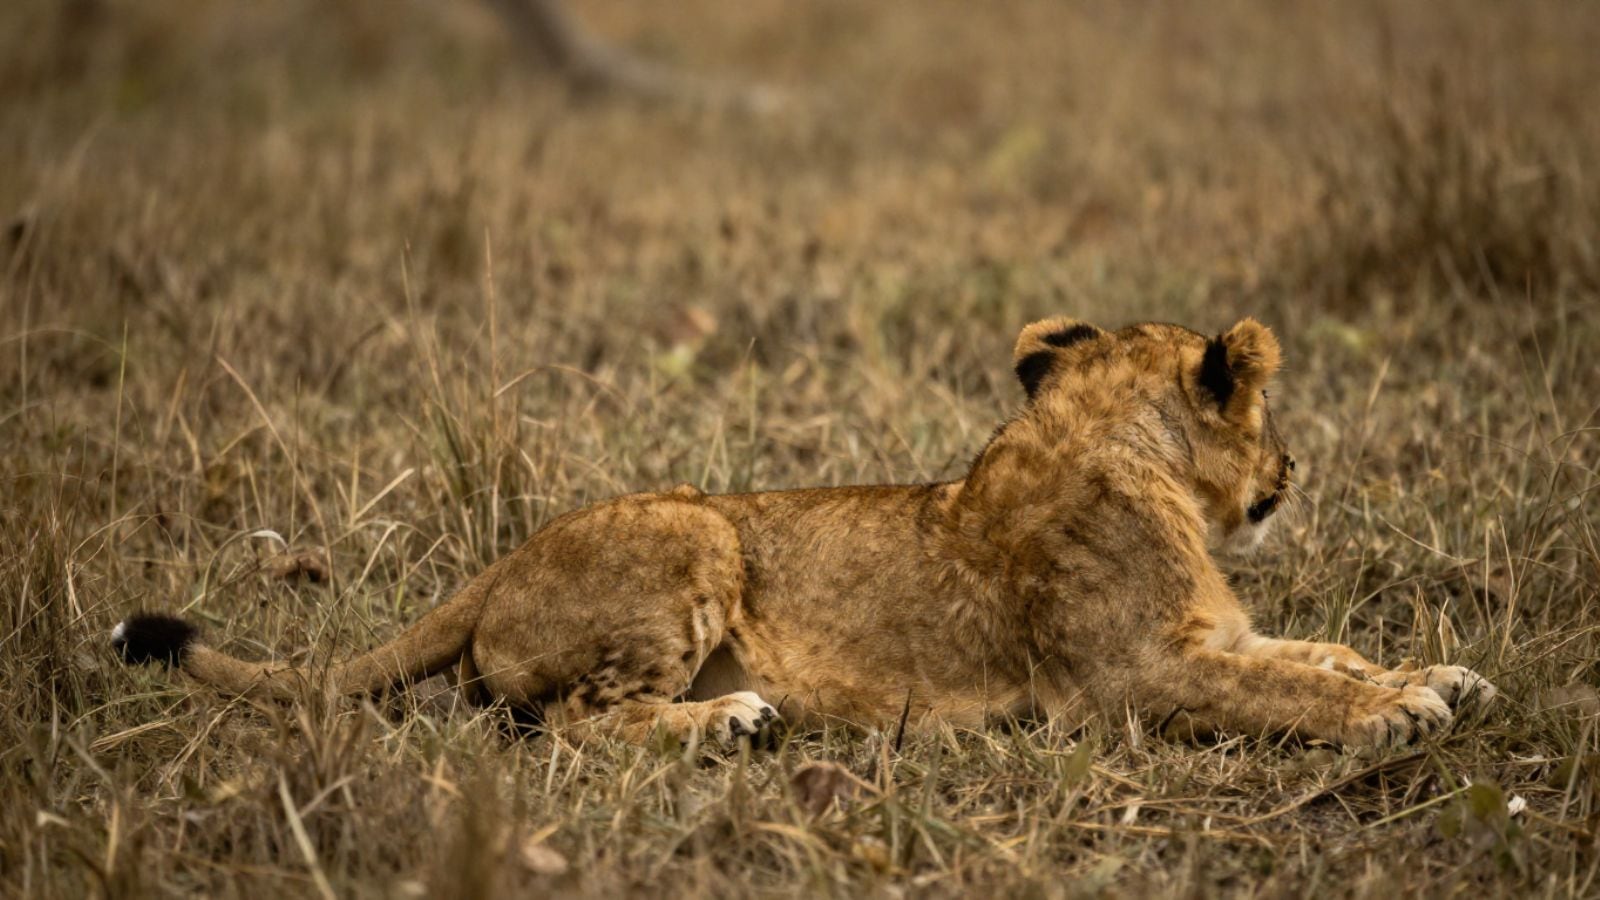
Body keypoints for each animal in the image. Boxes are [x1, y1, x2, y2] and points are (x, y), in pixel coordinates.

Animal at [114, 317, 1494, 748]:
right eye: (1269, 414)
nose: (1292, 467)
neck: (1113, 448)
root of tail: (500, 562)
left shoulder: (1206, 636)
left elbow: (1313, 657)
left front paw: (1438, 678)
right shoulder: (1126, 678)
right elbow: (1288, 692)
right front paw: (1390, 715)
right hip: (696, 537)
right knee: (570, 722)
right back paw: (726, 718)